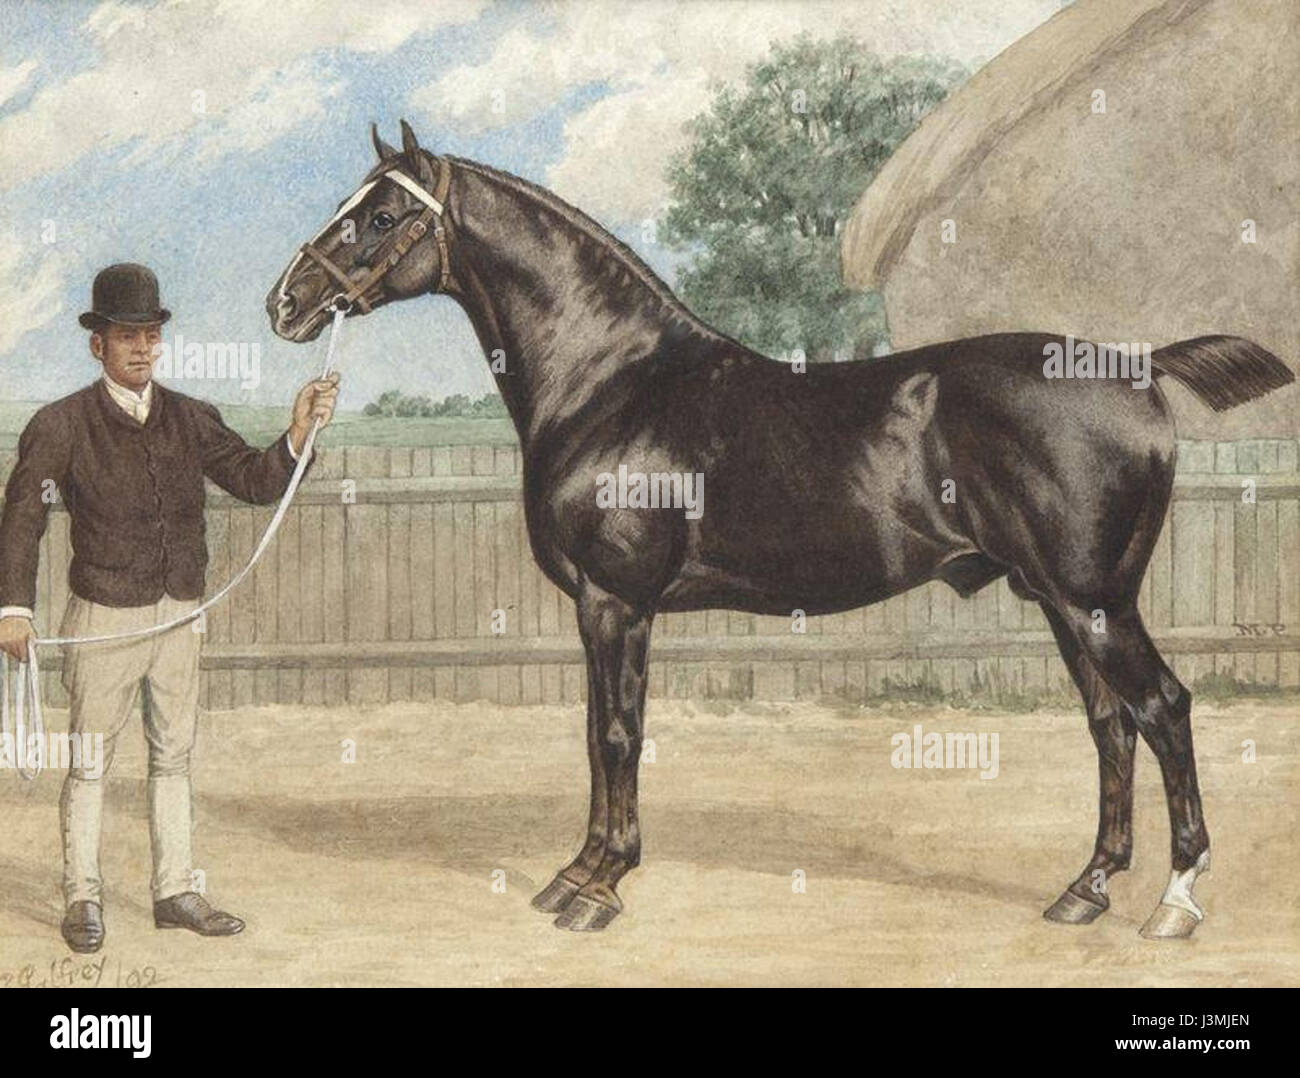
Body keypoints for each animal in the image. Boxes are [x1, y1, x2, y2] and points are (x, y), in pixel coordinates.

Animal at [266, 120, 1293, 936]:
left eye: (382, 217)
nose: (285, 302)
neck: (614, 382)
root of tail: (1139, 367)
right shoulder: (605, 607)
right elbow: (598, 731)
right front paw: (577, 870)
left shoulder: (616, 600)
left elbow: (616, 734)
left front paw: (599, 885)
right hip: (1059, 601)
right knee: (1111, 725)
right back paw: (1085, 889)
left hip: (1094, 601)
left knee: (1164, 711)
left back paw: (1175, 901)